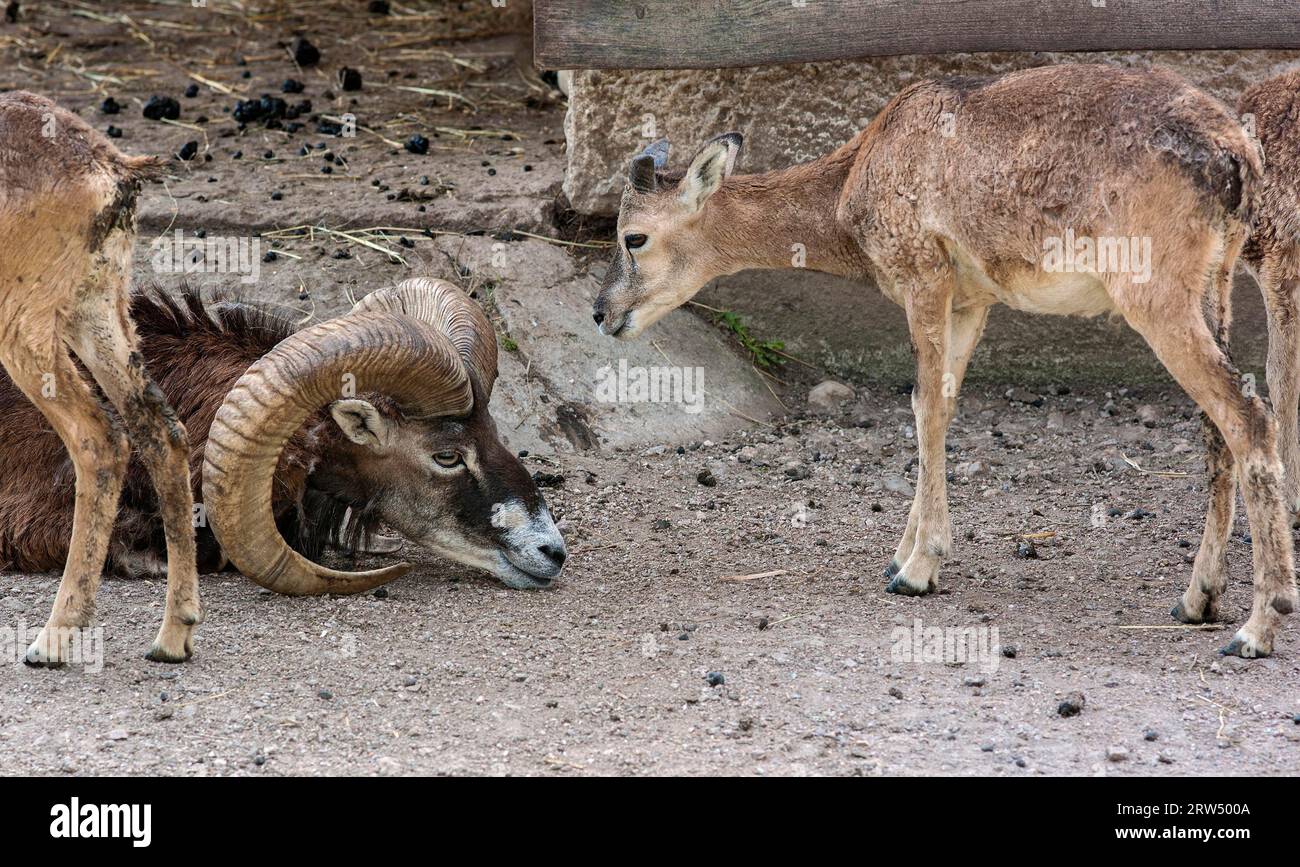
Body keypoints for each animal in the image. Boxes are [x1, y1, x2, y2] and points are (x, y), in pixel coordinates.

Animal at [0, 90, 200, 666]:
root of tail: (110, 168)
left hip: (27, 329)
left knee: (100, 438)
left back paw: (54, 638)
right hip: (96, 309)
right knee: (161, 431)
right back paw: (173, 636)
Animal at [591, 64, 1298, 658]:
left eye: (634, 236)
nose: (601, 312)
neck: (854, 185)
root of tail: (1236, 159)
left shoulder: (922, 271)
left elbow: (924, 403)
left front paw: (918, 570)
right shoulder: (972, 298)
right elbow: (944, 403)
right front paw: (898, 557)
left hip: (1154, 289)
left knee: (1248, 413)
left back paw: (1255, 629)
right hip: (1217, 280)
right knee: (1219, 423)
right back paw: (1196, 600)